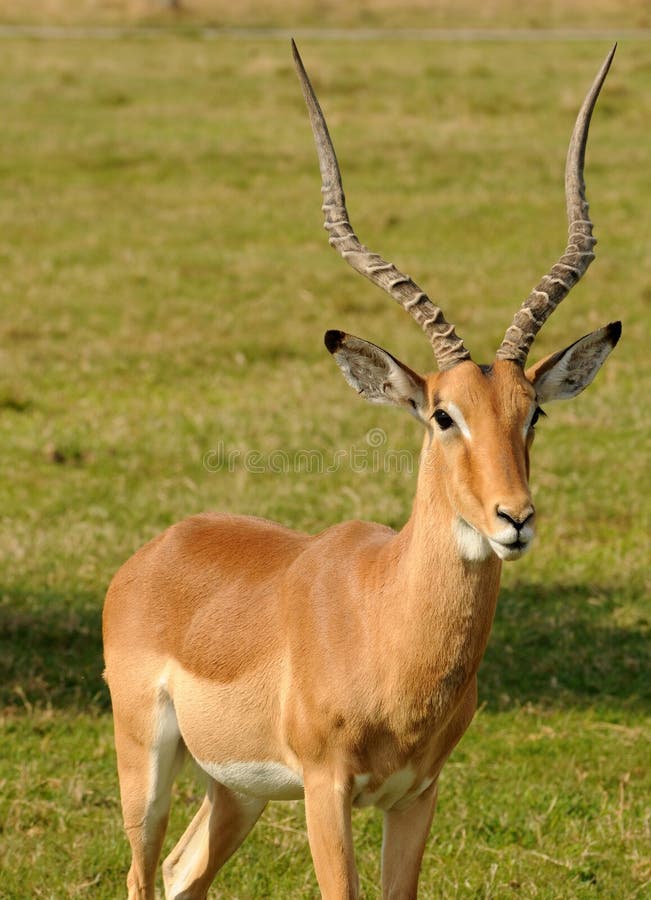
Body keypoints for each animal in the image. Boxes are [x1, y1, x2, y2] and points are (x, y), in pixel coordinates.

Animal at [103, 42, 620, 899]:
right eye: (442, 414)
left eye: (532, 413)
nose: (514, 518)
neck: (384, 620)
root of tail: (157, 550)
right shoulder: (326, 788)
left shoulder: (416, 794)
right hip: (147, 764)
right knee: (144, 876)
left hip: (235, 789)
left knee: (183, 875)